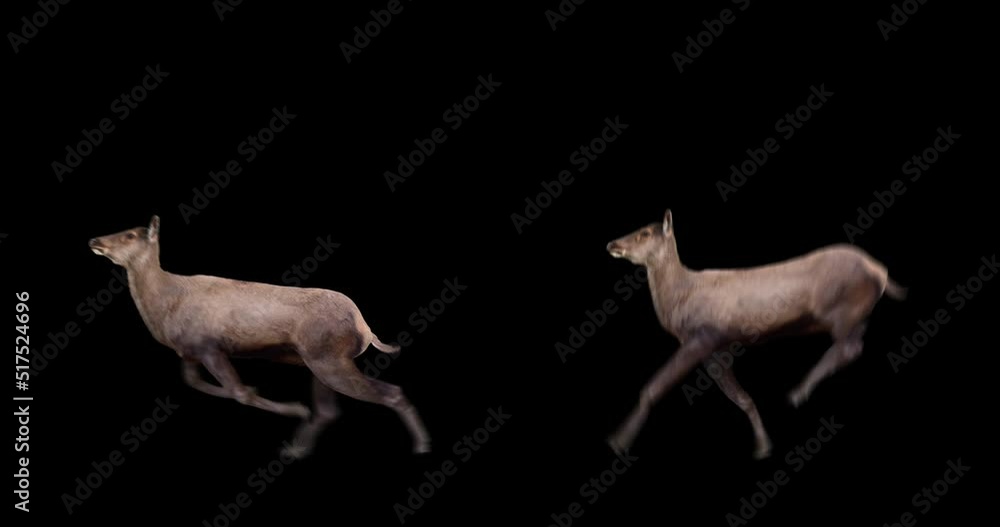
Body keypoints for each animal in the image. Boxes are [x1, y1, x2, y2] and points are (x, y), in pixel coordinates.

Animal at [88, 216, 430, 459]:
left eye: (130, 235)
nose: (95, 240)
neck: (165, 306)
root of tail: (365, 330)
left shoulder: (209, 346)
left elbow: (239, 392)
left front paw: (295, 409)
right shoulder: (190, 352)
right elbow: (196, 383)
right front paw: (292, 408)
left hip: (329, 359)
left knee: (390, 392)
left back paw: (422, 444)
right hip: (319, 361)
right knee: (330, 410)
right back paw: (298, 448)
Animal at [605, 209, 906, 459]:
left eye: (645, 233)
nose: (613, 244)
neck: (678, 300)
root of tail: (881, 272)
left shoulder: (702, 335)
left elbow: (653, 388)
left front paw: (620, 440)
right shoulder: (717, 348)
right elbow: (741, 397)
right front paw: (763, 445)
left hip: (841, 308)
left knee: (849, 347)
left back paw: (797, 393)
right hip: (853, 313)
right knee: (854, 342)